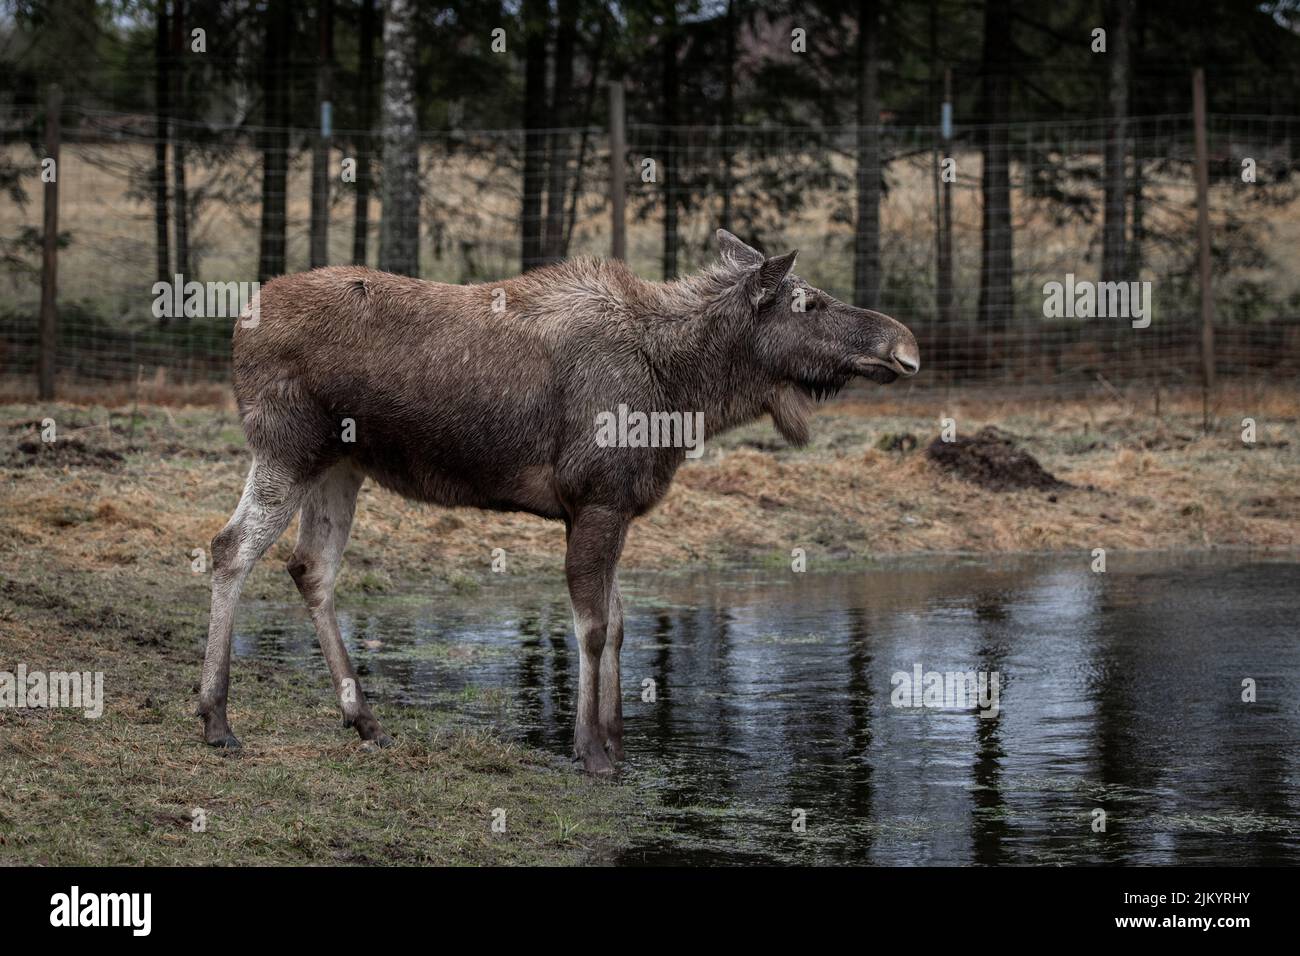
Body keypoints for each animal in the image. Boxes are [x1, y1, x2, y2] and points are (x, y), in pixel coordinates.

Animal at [198, 229, 919, 775]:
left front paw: (618, 742)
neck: (684, 393)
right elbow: (593, 626)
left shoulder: (614, 507)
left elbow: (619, 622)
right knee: (230, 549)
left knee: (310, 567)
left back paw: (364, 717)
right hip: (287, 447)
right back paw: (216, 718)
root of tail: (239, 322)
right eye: (808, 302)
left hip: (341, 466)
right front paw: (590, 751)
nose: (905, 347)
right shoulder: (595, 500)